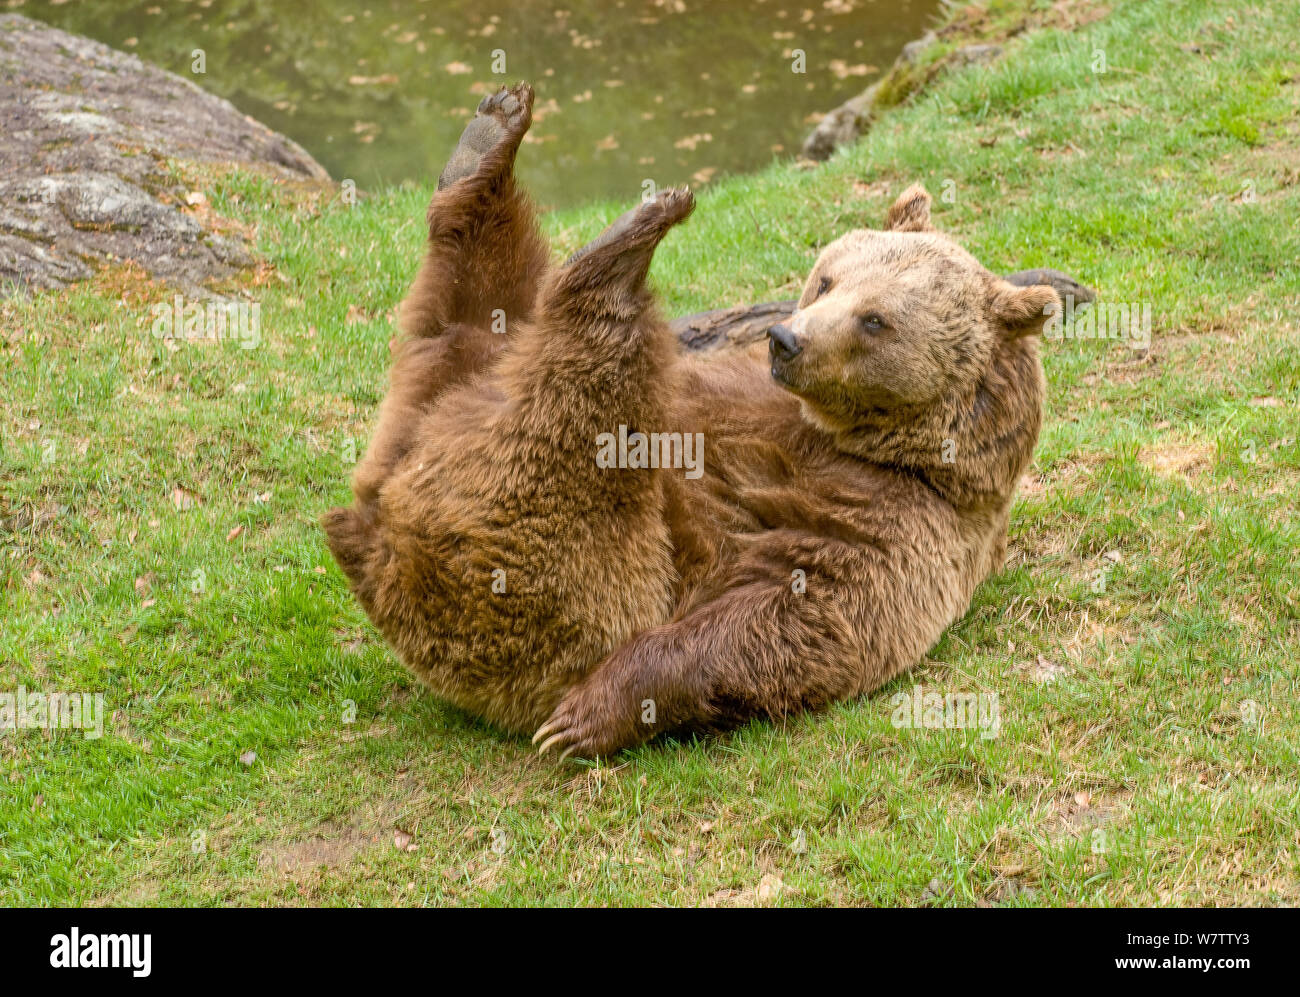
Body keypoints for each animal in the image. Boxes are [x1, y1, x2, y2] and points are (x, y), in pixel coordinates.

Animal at [323, 83, 1059, 759]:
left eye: (875, 320)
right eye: (828, 279)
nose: (787, 341)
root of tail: (378, 529)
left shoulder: (895, 525)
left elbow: (787, 617)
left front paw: (590, 713)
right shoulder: (733, 387)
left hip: (550, 564)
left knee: (581, 411)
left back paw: (616, 255)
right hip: (463, 396)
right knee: (475, 320)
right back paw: (491, 146)